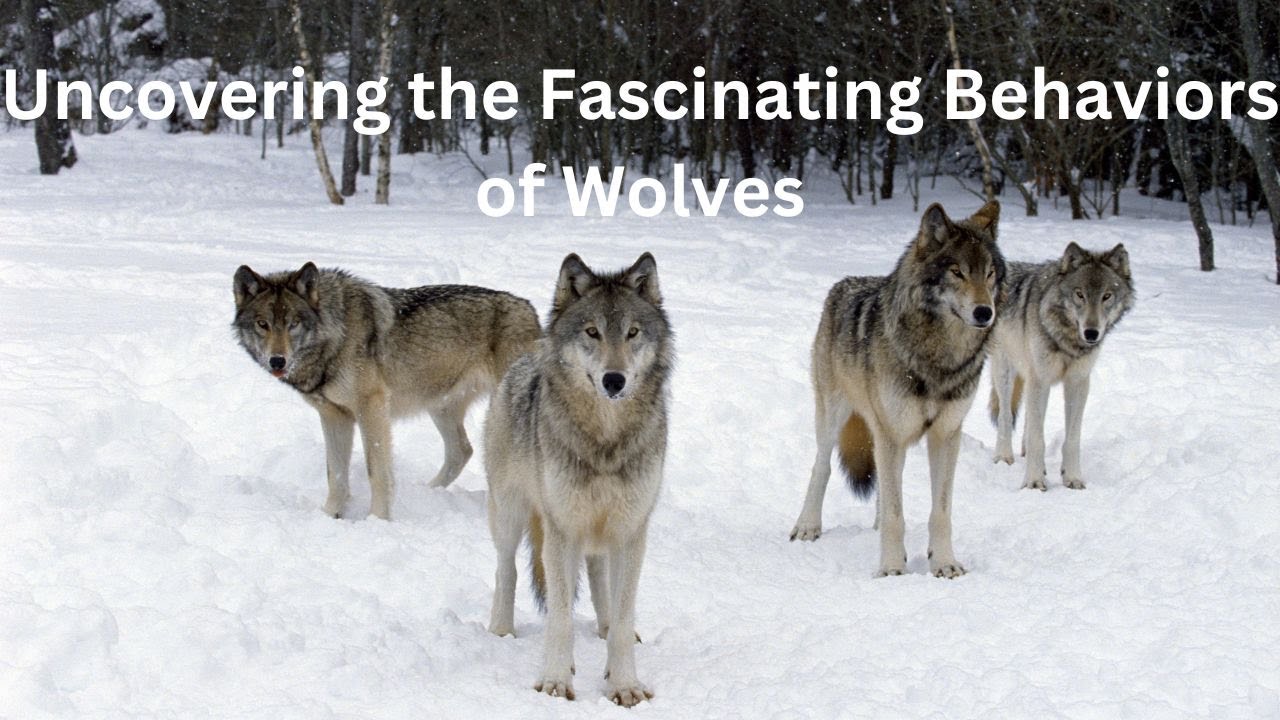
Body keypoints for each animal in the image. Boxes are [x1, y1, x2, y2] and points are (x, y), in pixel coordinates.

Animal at [232, 262, 540, 520]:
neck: (335, 335)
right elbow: (336, 474)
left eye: (293, 323)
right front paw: (330, 515)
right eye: (263, 324)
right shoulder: (334, 416)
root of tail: (530, 309)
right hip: (440, 407)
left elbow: (377, 472)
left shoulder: (371, 408)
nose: (277, 361)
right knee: (461, 451)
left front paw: (378, 520)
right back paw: (428, 492)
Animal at [484, 253, 672, 707]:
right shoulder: (561, 529)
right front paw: (555, 680)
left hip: (600, 530)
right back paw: (501, 631)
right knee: (506, 569)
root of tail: (526, 355)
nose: (614, 380)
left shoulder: (631, 530)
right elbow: (560, 617)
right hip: (510, 514)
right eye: (592, 332)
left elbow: (622, 616)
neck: (605, 439)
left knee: (600, 578)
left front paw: (624, 684)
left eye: (632, 332)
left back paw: (603, 628)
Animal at [789, 202, 1005, 579]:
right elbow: (895, 514)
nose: (984, 312)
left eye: (990, 273)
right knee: (822, 467)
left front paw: (944, 563)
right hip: (836, 417)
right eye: (957, 272)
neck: (939, 359)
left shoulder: (946, 434)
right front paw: (891, 569)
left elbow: (939, 512)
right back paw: (807, 526)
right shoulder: (891, 432)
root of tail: (844, 284)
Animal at [988, 242, 1134, 490]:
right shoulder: (1040, 378)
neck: (1068, 341)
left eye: (1107, 296)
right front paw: (1033, 481)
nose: (1091, 333)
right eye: (1079, 294)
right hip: (1006, 371)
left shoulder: (1077, 382)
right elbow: (1037, 438)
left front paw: (1072, 478)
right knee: (1006, 416)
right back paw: (1004, 457)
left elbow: (1072, 438)